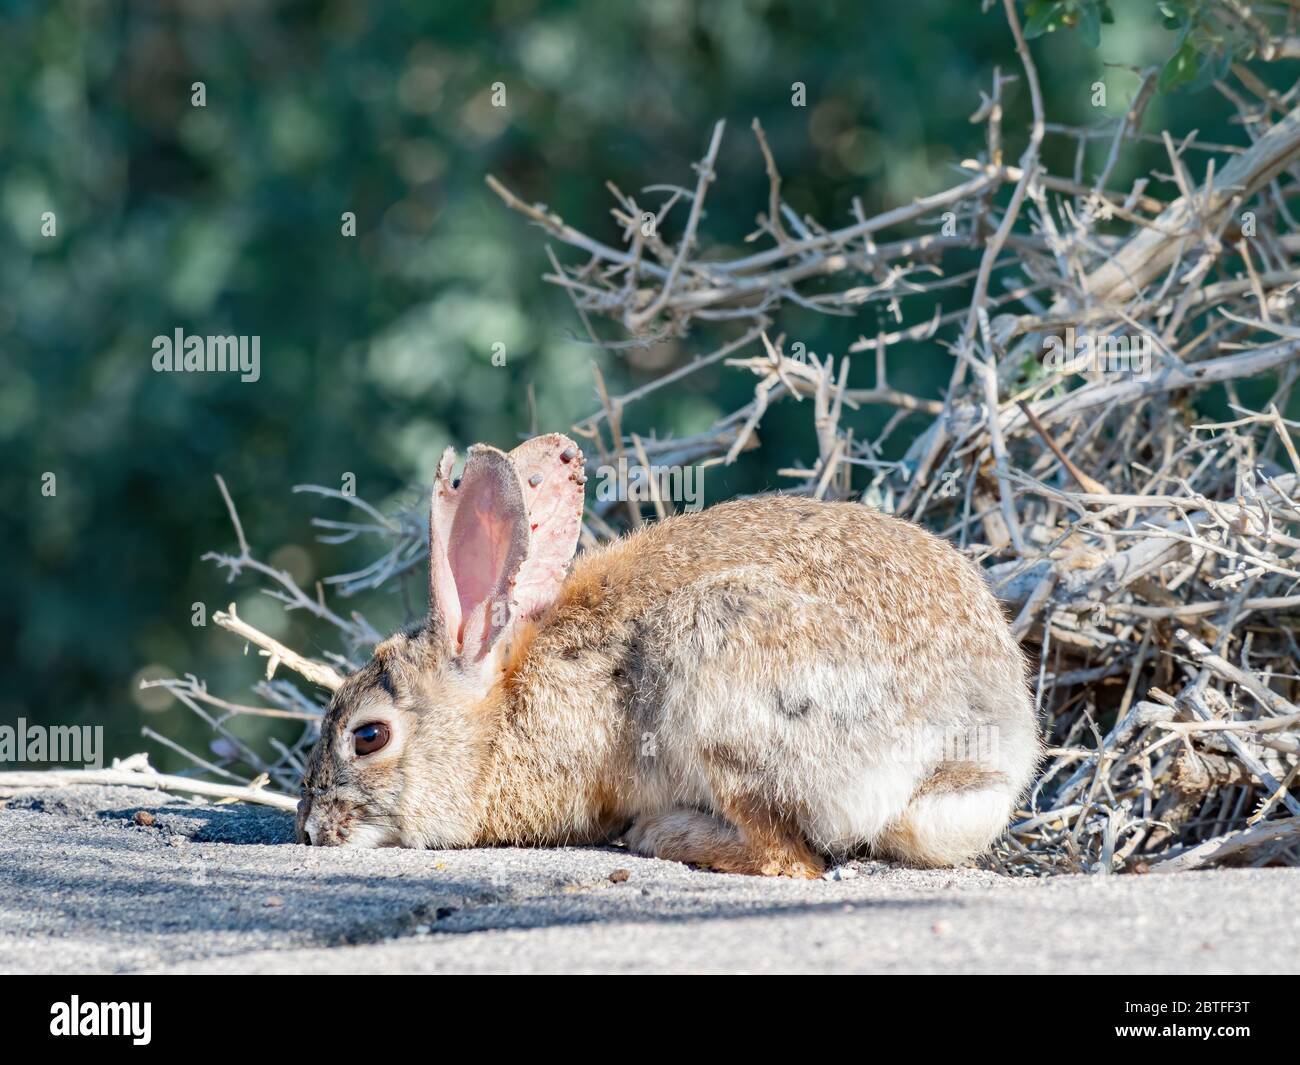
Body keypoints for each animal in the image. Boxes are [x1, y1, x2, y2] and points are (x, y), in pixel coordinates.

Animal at [296, 432, 1039, 877]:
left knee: (786, 858)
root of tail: (971, 752)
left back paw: (661, 834)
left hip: (718, 671)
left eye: (369, 735)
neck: (499, 715)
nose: (308, 828)